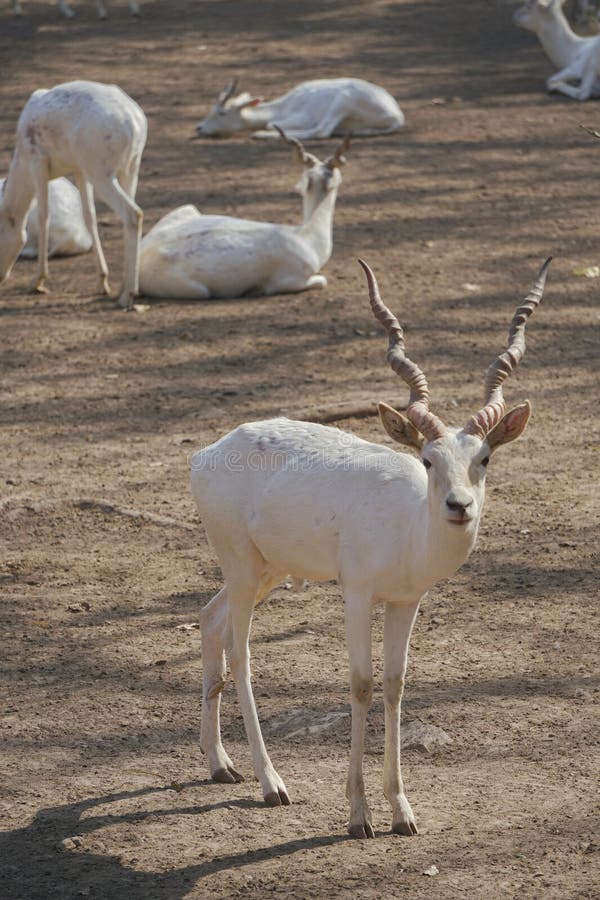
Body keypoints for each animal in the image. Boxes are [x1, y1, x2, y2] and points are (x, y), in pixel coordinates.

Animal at [0, 80, 147, 309]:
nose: (0, 277)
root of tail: (133, 121)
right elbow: (90, 217)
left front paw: (37, 281)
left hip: (101, 173)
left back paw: (127, 296)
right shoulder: (79, 170)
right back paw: (121, 288)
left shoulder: (38, 162)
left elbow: (43, 216)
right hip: (130, 168)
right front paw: (102, 283)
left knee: (133, 214)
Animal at [139, 130, 348, 299]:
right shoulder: (289, 281)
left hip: (187, 208)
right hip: (199, 291)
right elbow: (322, 280)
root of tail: (142, 257)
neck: (306, 237)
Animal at [190, 257, 551, 838]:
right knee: (240, 650)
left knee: (208, 620)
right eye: (427, 459)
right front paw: (358, 814)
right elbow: (360, 684)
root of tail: (209, 450)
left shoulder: (406, 601)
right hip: (242, 568)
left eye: (485, 459)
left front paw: (402, 810)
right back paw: (271, 783)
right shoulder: (357, 595)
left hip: (266, 570)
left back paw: (219, 764)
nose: (458, 506)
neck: (406, 528)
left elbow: (394, 684)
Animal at [195, 77, 404, 140]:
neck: (281, 106)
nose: (199, 128)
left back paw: (260, 135)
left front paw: (262, 131)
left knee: (322, 131)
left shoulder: (302, 118)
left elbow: (271, 124)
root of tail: (397, 116)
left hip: (342, 101)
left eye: (221, 113)